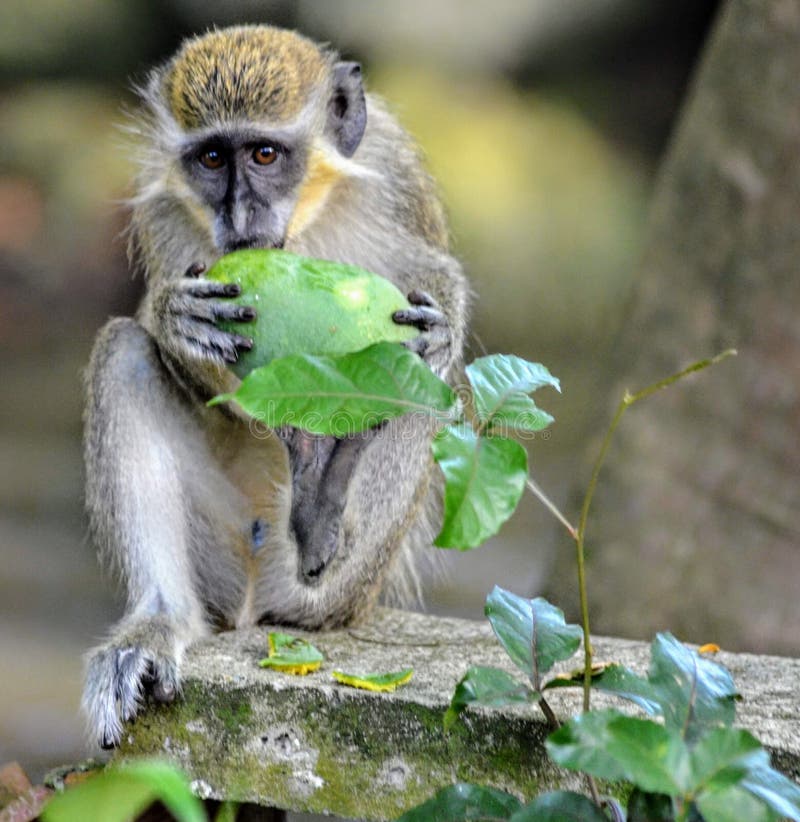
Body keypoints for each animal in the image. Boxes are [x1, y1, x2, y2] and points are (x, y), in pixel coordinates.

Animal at [82, 24, 468, 749]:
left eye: (265, 154)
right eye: (211, 159)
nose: (239, 215)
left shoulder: (396, 177)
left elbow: (437, 285)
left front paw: (442, 328)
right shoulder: (164, 205)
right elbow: (165, 335)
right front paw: (177, 321)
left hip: (346, 592)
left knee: (416, 380)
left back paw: (319, 509)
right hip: (226, 559)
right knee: (122, 352)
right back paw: (159, 624)